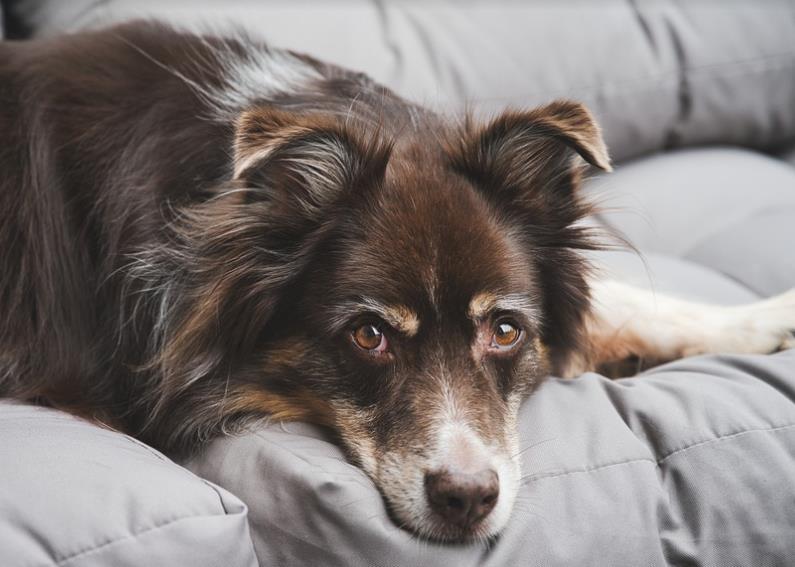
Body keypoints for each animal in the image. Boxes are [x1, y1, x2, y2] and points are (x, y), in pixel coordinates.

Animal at [1, 22, 795, 544]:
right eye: (368, 334)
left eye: (505, 328)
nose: (466, 500)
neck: (215, 202)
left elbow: (619, 299)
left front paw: (762, 319)